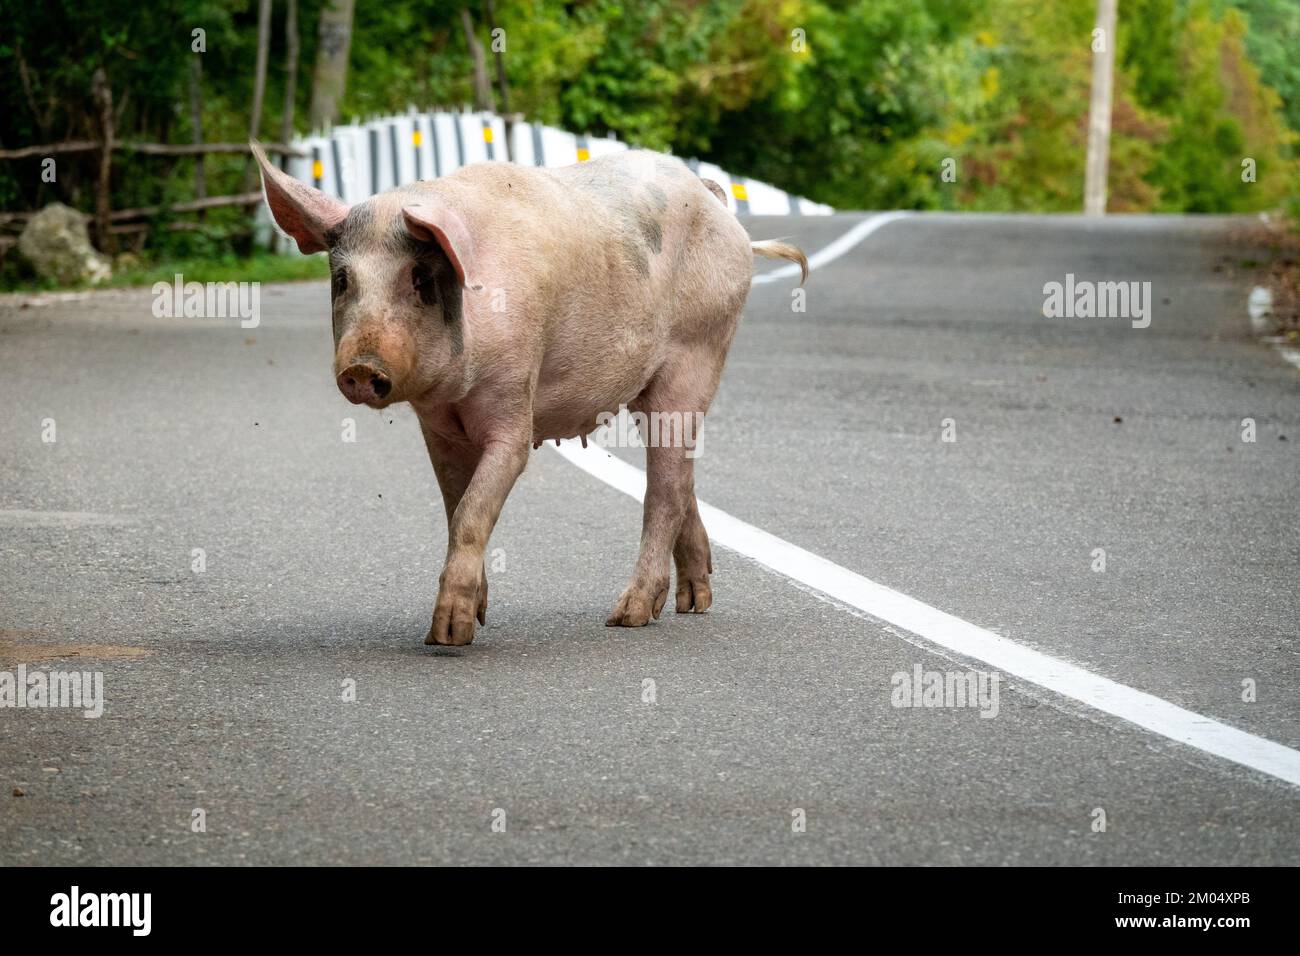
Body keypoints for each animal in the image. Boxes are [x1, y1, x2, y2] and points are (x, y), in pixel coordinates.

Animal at [251, 142, 807, 647]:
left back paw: (627, 616)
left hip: (698, 350)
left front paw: (447, 637)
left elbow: (475, 508)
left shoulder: (514, 401)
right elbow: (455, 508)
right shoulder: (437, 427)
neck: (457, 385)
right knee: (681, 473)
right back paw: (693, 603)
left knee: (665, 486)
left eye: (419, 277)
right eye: (342, 279)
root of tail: (712, 198)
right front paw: (467, 622)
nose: (362, 368)